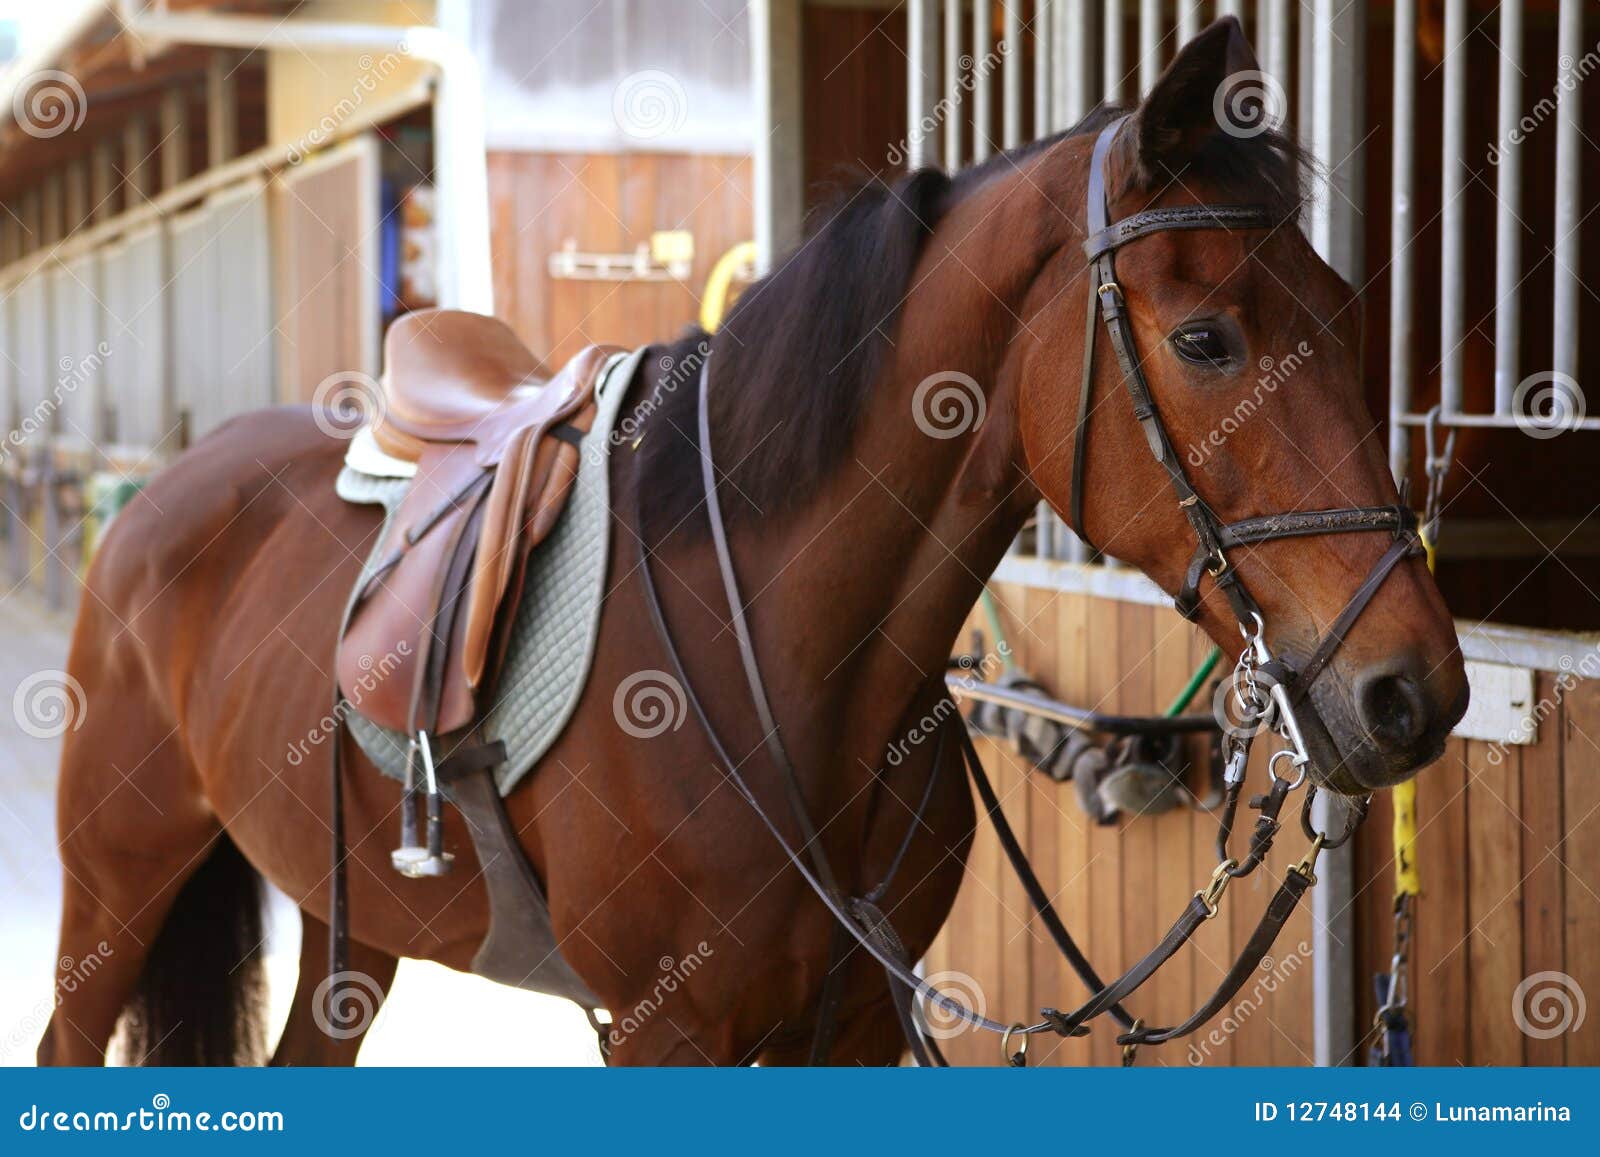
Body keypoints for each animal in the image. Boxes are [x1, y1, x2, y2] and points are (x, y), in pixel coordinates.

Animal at [38, 20, 1466, 1067]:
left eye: (1345, 312)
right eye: (1206, 338)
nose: (1415, 688)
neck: (778, 657)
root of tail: (166, 493)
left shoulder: (853, 1023)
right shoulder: (665, 1031)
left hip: (348, 925)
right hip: (117, 878)